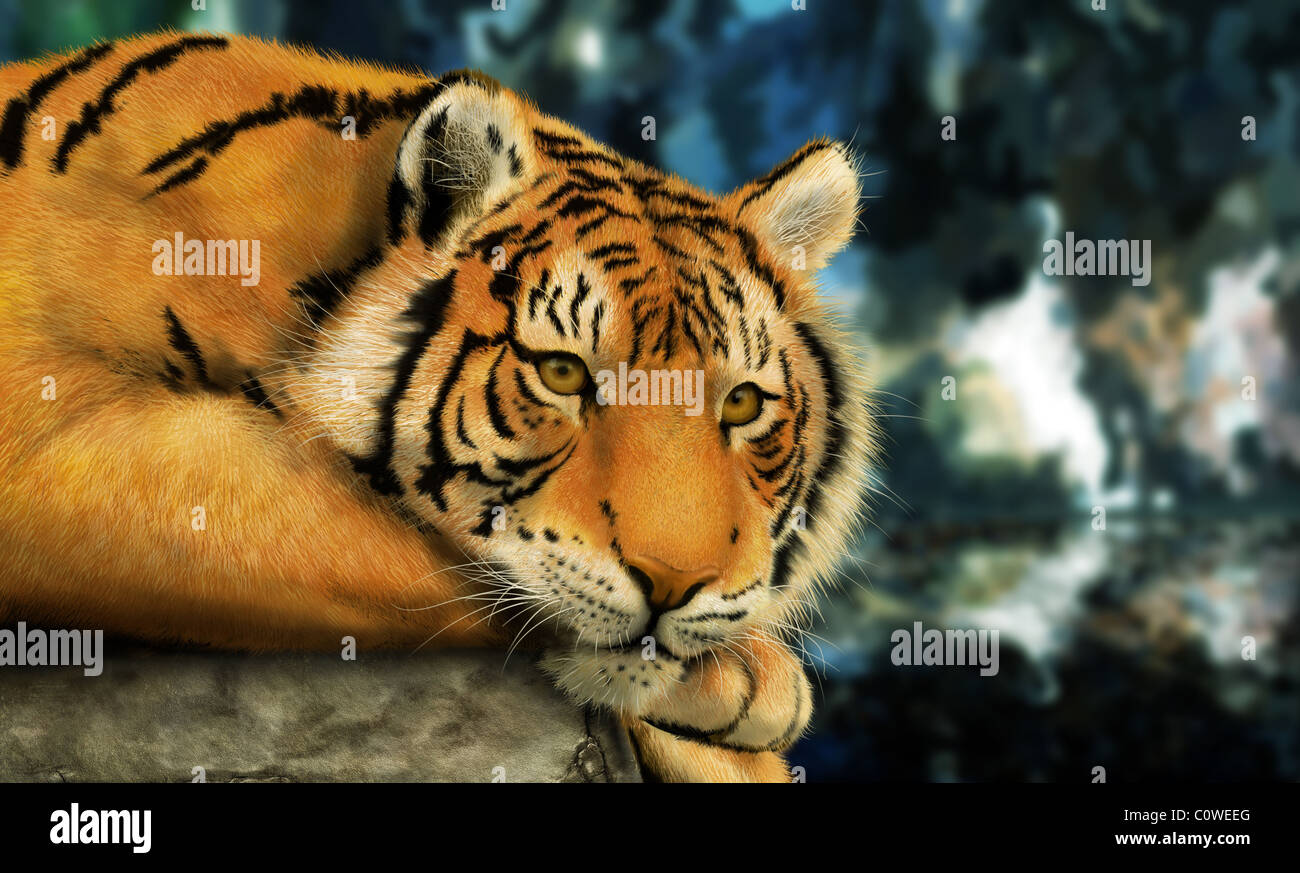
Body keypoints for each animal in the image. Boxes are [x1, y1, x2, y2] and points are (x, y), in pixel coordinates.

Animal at [0, 31, 877, 782]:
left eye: (742, 402)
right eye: (562, 373)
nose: (676, 584)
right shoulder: (48, 427)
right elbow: (410, 552)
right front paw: (751, 685)